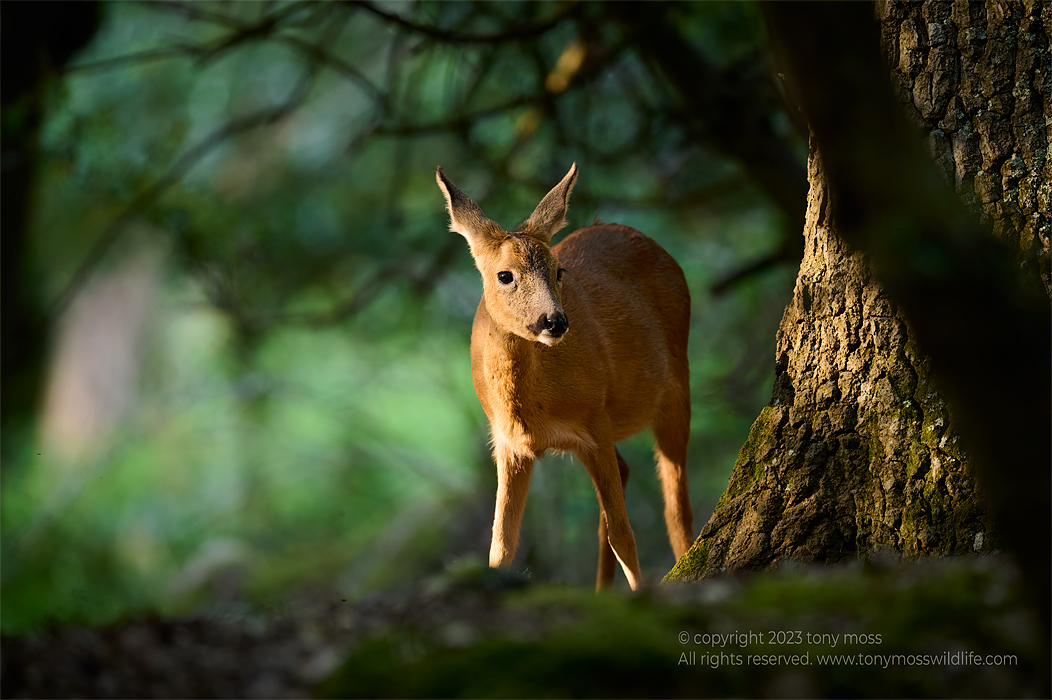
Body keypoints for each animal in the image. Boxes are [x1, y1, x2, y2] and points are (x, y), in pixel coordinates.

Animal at [436, 162, 693, 591]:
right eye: (504, 275)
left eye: (559, 271)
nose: (554, 321)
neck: (532, 409)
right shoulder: (507, 444)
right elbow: (500, 546)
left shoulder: (595, 423)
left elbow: (625, 533)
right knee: (626, 478)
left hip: (677, 383)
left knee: (675, 507)